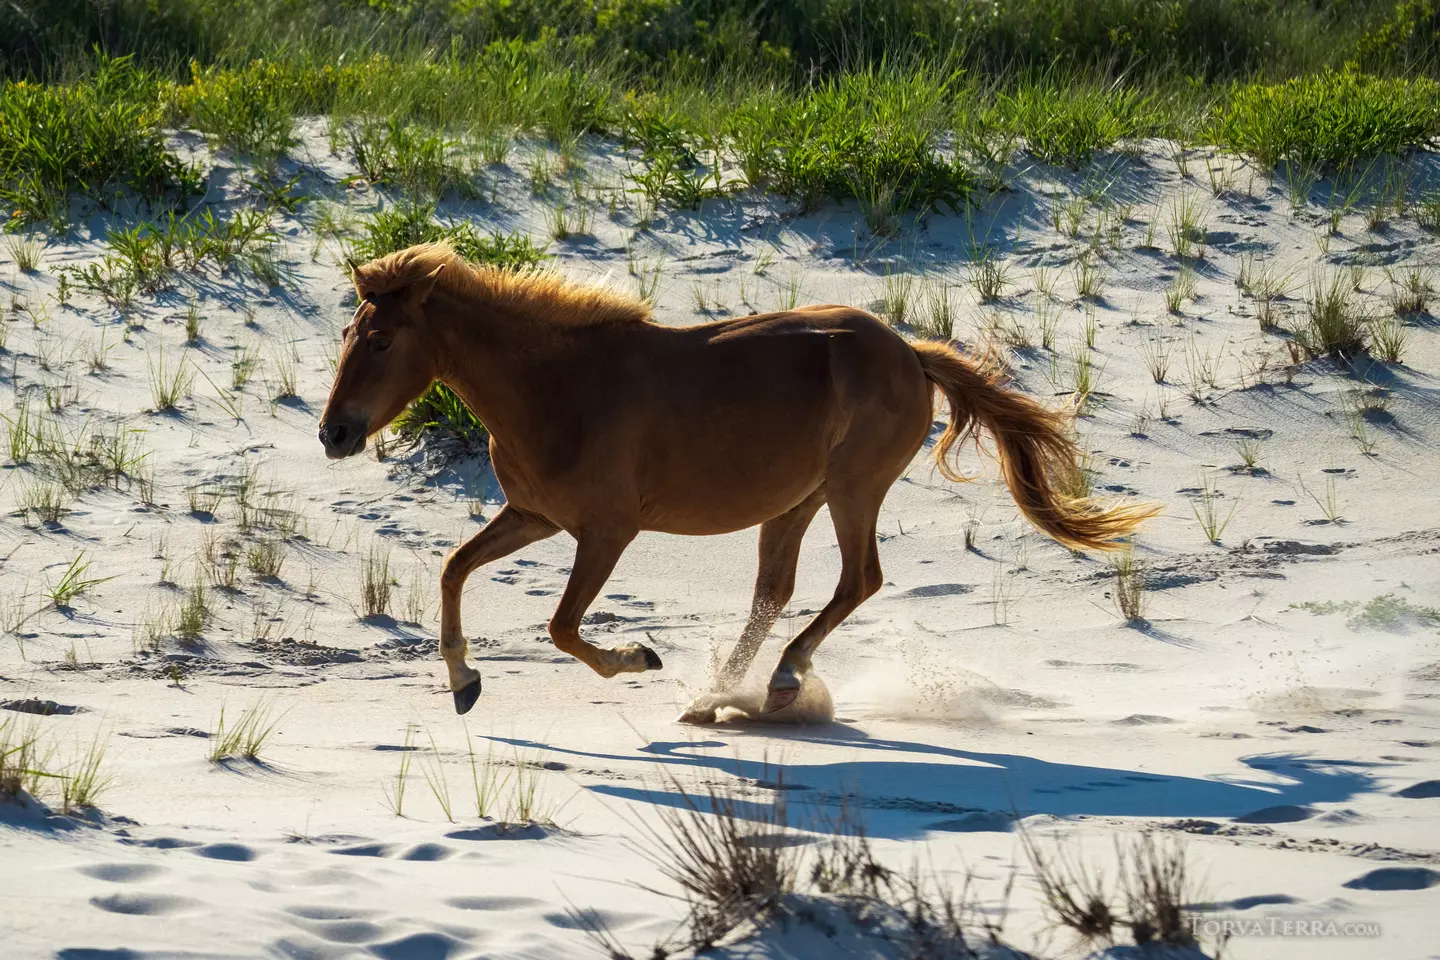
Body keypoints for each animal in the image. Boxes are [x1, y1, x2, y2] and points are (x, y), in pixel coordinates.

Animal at [318, 244, 1157, 716]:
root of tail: (911, 354)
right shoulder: (533, 514)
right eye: (349, 332)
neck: (560, 388)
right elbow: (455, 568)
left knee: (857, 580)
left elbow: (560, 626)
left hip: (852, 490)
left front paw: (639, 659)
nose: (334, 434)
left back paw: (774, 682)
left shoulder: (606, 532)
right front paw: (464, 683)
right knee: (775, 593)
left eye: (382, 340)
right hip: (795, 502)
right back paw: (718, 697)